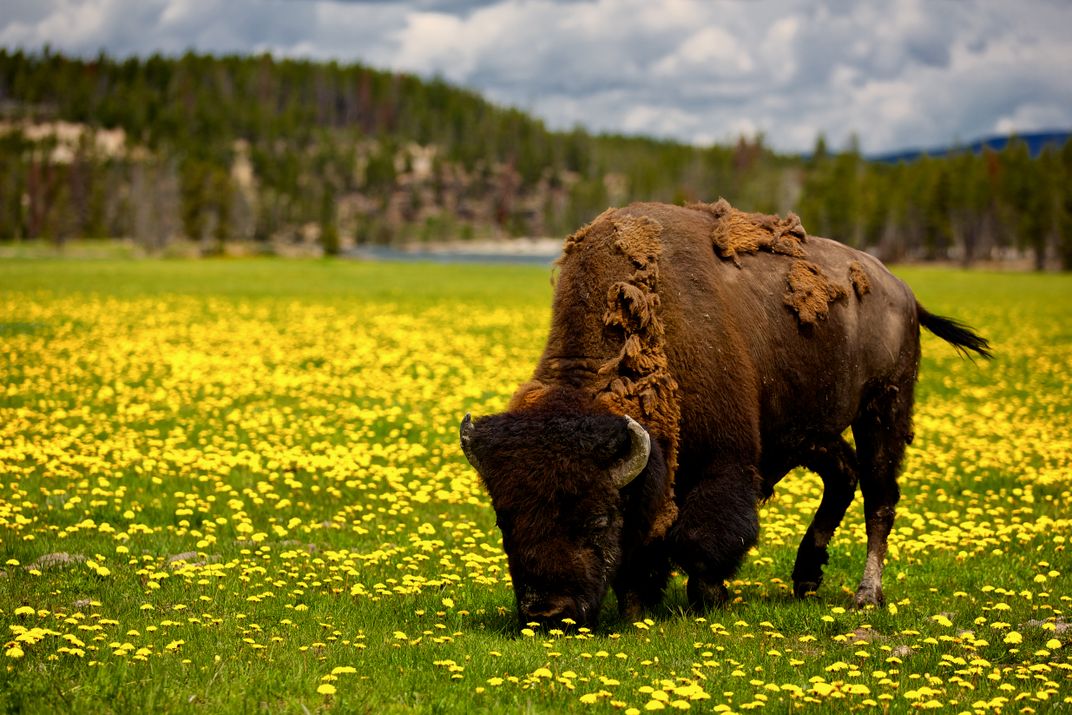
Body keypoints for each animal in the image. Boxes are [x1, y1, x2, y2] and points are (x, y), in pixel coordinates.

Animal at [460, 199, 991, 629]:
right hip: (811, 429)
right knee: (842, 475)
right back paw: (806, 578)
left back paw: (865, 596)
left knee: (879, 498)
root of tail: (902, 290)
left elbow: (703, 537)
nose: (548, 613)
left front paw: (706, 599)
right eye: (504, 521)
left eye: (596, 519)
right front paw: (638, 607)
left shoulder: (724, 462)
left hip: (883, 409)